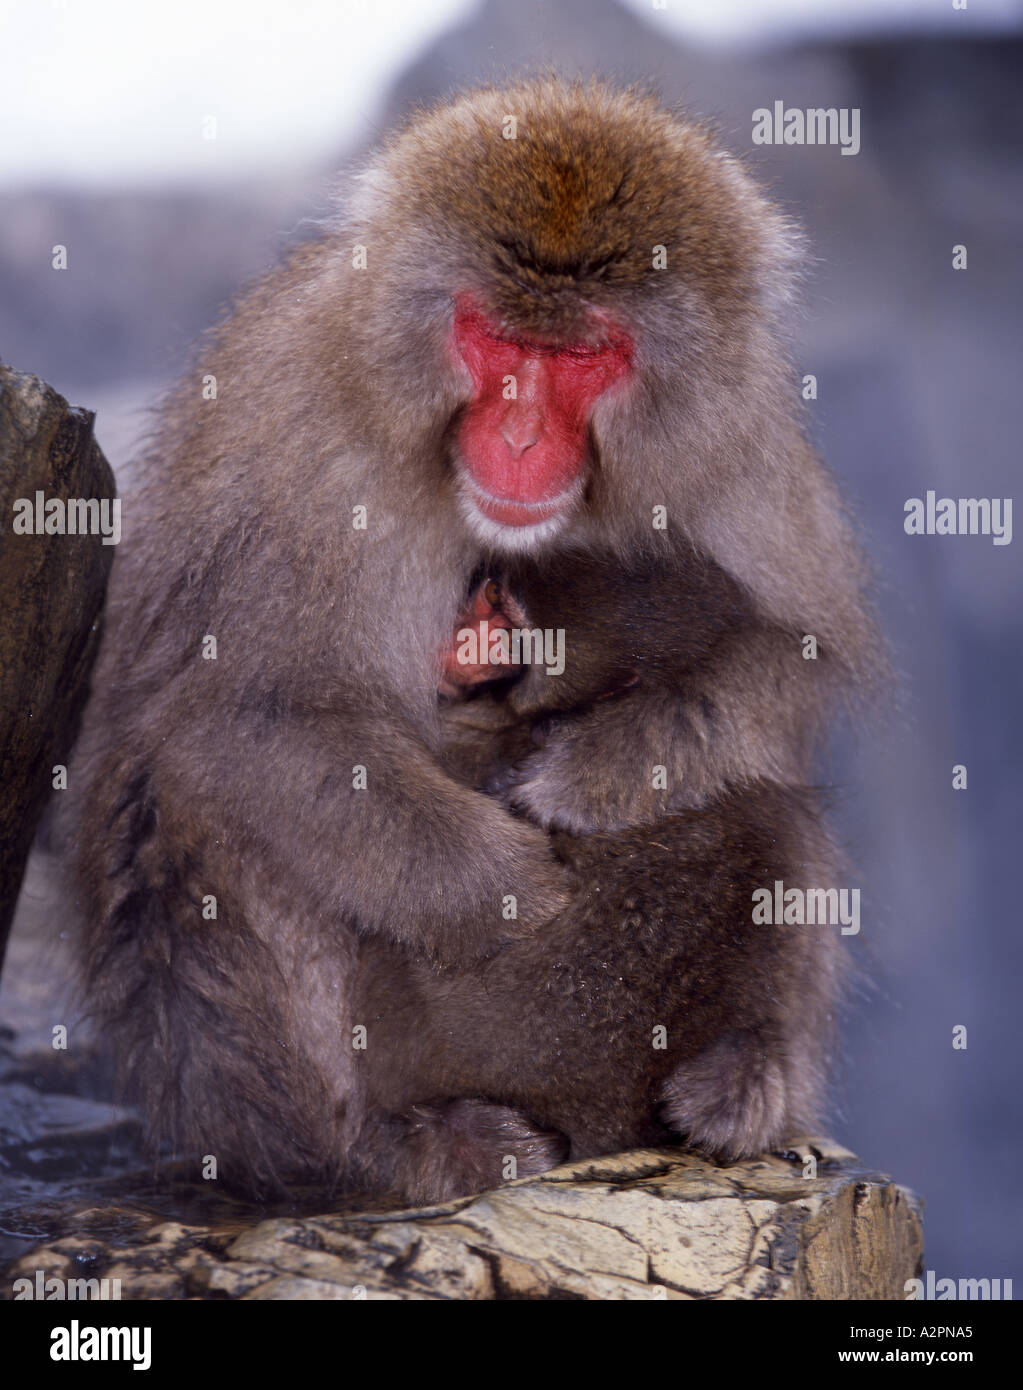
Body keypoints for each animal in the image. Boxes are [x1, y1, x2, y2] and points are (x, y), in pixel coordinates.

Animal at [61, 77, 880, 1204]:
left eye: (580, 356)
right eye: (496, 339)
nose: (522, 436)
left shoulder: (735, 441)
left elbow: (784, 655)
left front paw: (603, 767)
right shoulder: (301, 440)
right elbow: (235, 717)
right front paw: (503, 889)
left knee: (769, 800)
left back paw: (744, 1076)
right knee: (211, 815)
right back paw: (388, 1145)